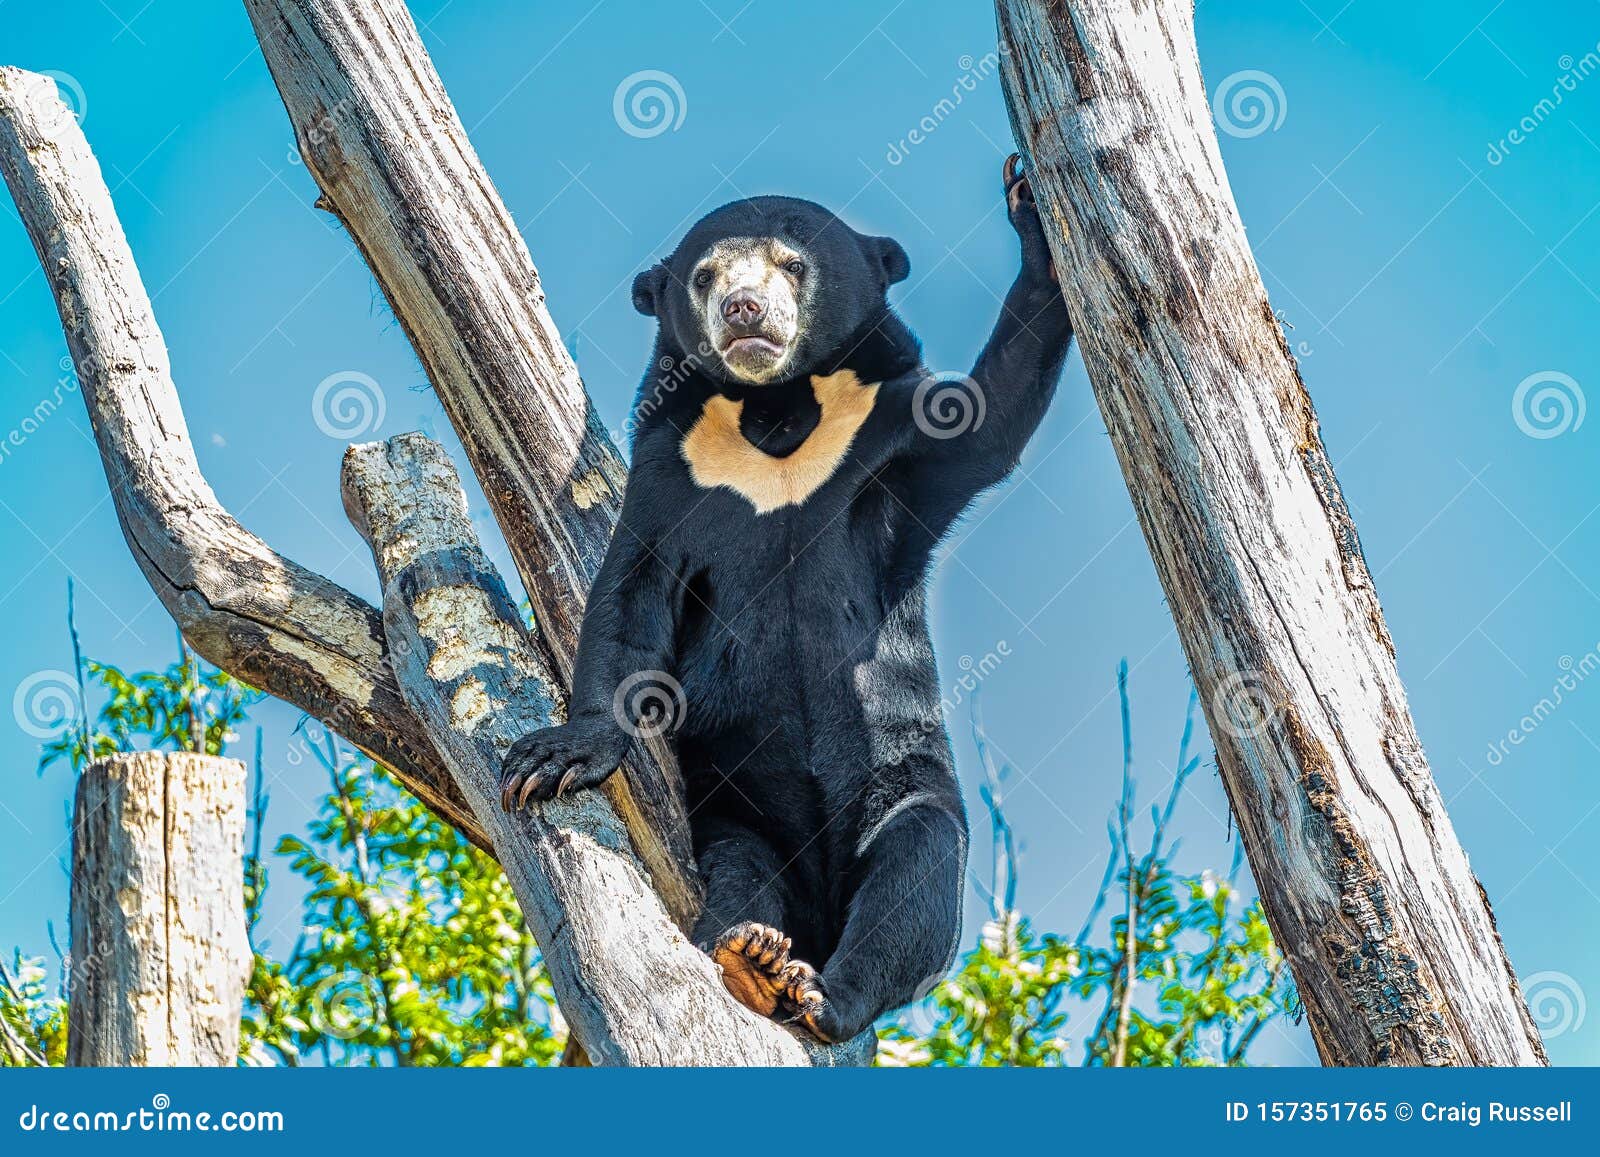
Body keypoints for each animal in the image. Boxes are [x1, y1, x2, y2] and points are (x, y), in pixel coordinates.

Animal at [500, 155, 1074, 1044]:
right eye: (704, 275)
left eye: (792, 264)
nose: (743, 309)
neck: (778, 413)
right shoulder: (672, 469)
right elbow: (630, 593)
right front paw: (556, 756)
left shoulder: (886, 434)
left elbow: (989, 420)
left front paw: (1033, 219)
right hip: (736, 804)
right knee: (742, 873)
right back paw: (753, 957)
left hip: (903, 774)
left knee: (914, 877)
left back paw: (822, 991)